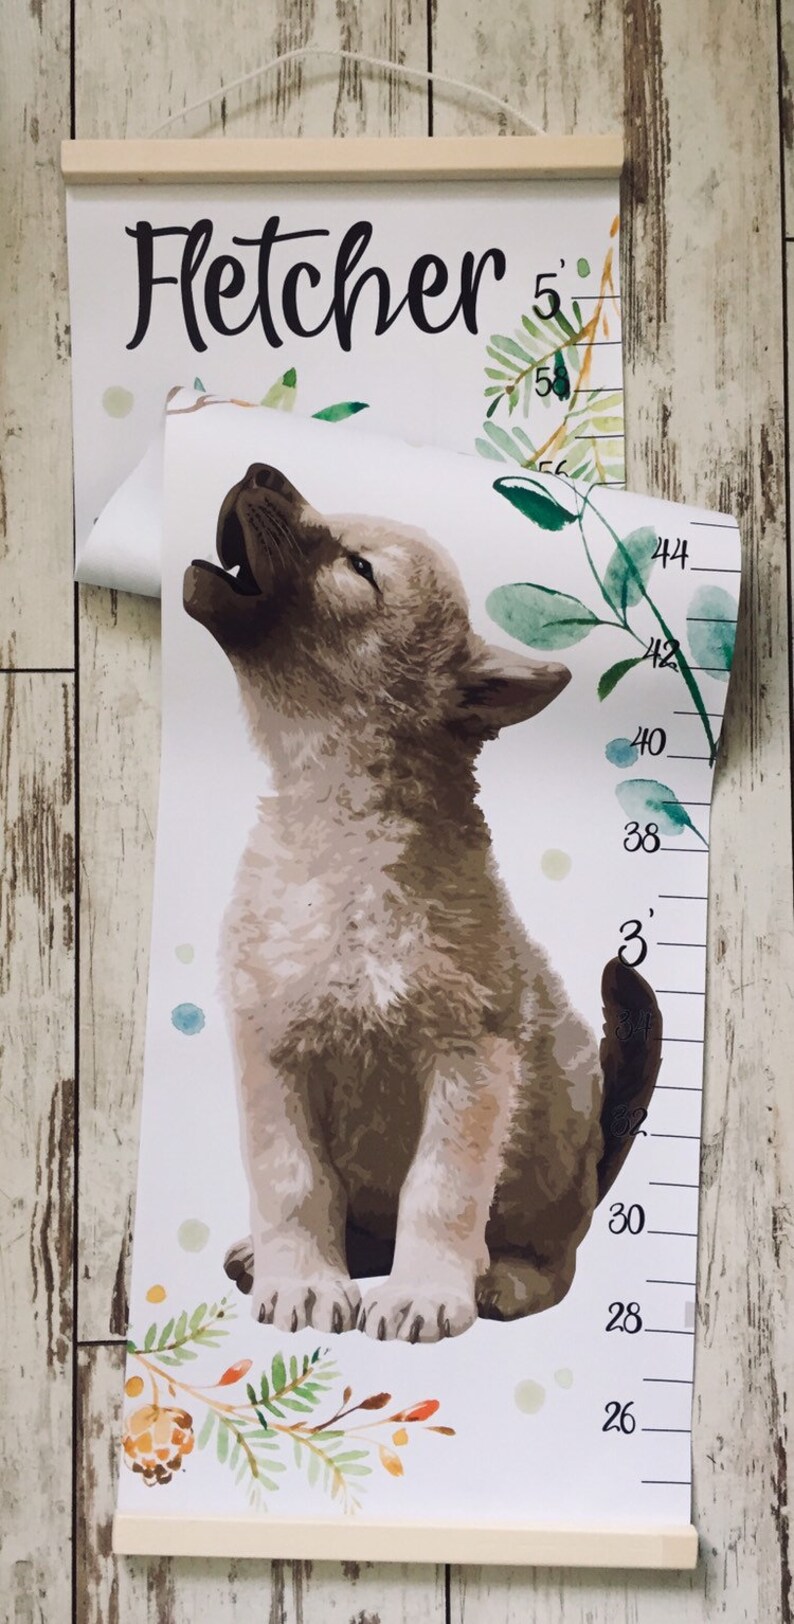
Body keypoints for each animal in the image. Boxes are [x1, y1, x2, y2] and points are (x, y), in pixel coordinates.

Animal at [183, 461, 661, 1343]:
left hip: (553, 1149)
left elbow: (440, 1193)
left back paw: (501, 1278)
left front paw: (425, 1293)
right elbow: (293, 1181)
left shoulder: (469, 1061)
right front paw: (302, 1279)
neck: (339, 823)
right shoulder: (273, 1051)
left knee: (556, 1257)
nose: (259, 468)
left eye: (359, 568)